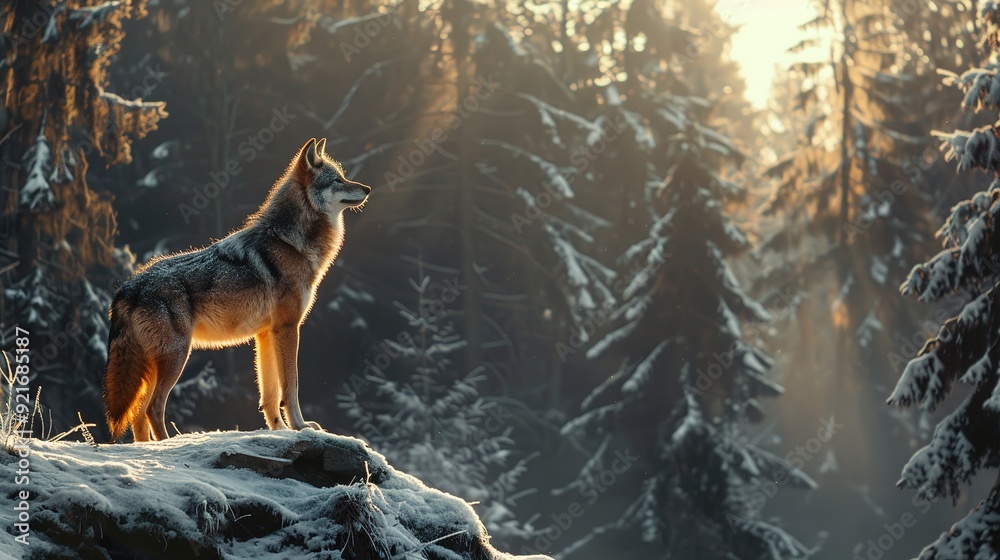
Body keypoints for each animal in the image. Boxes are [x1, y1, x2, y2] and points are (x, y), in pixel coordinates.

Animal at [103, 138, 370, 441]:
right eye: (338, 180)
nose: (367, 189)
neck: (290, 241)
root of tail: (127, 288)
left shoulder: (265, 335)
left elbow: (270, 394)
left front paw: (279, 430)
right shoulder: (287, 328)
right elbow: (290, 386)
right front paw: (300, 426)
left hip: (153, 365)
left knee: (137, 415)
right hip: (177, 356)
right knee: (152, 408)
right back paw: (168, 445)